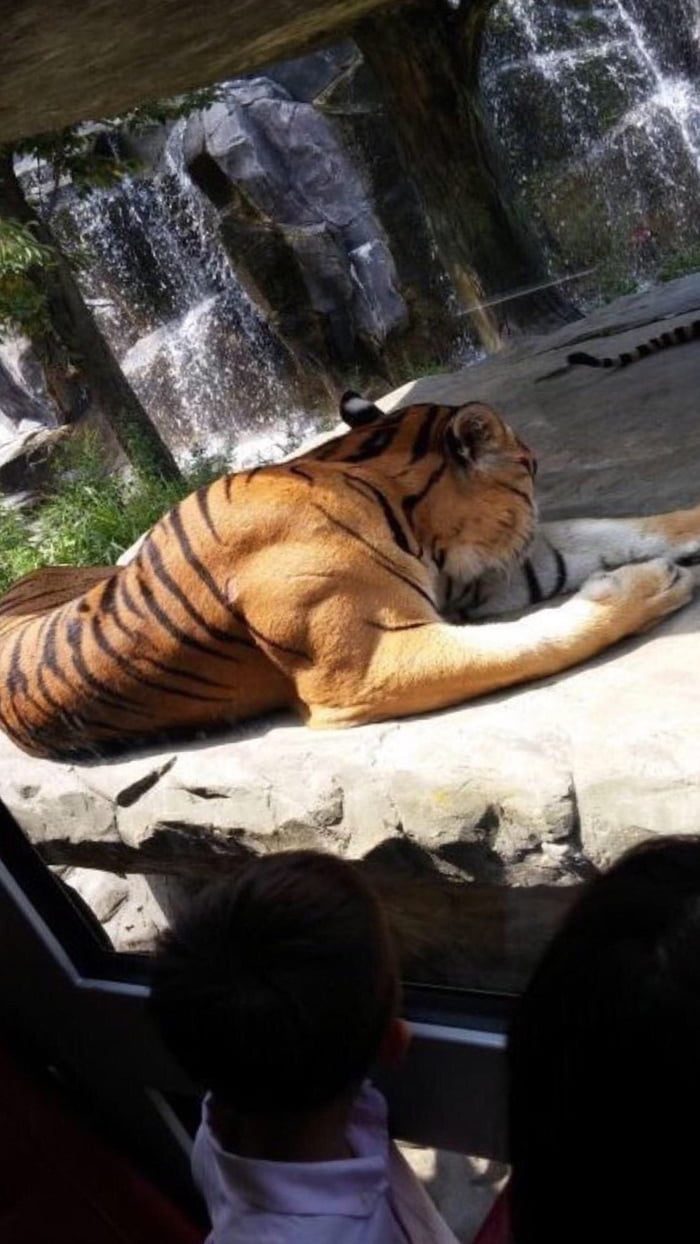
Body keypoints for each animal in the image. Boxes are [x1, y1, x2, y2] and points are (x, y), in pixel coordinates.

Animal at [1, 390, 699, 761]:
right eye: (531, 467)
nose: (534, 483)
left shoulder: (486, 576)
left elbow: (614, 530)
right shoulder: (366, 664)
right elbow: (534, 640)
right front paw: (648, 586)